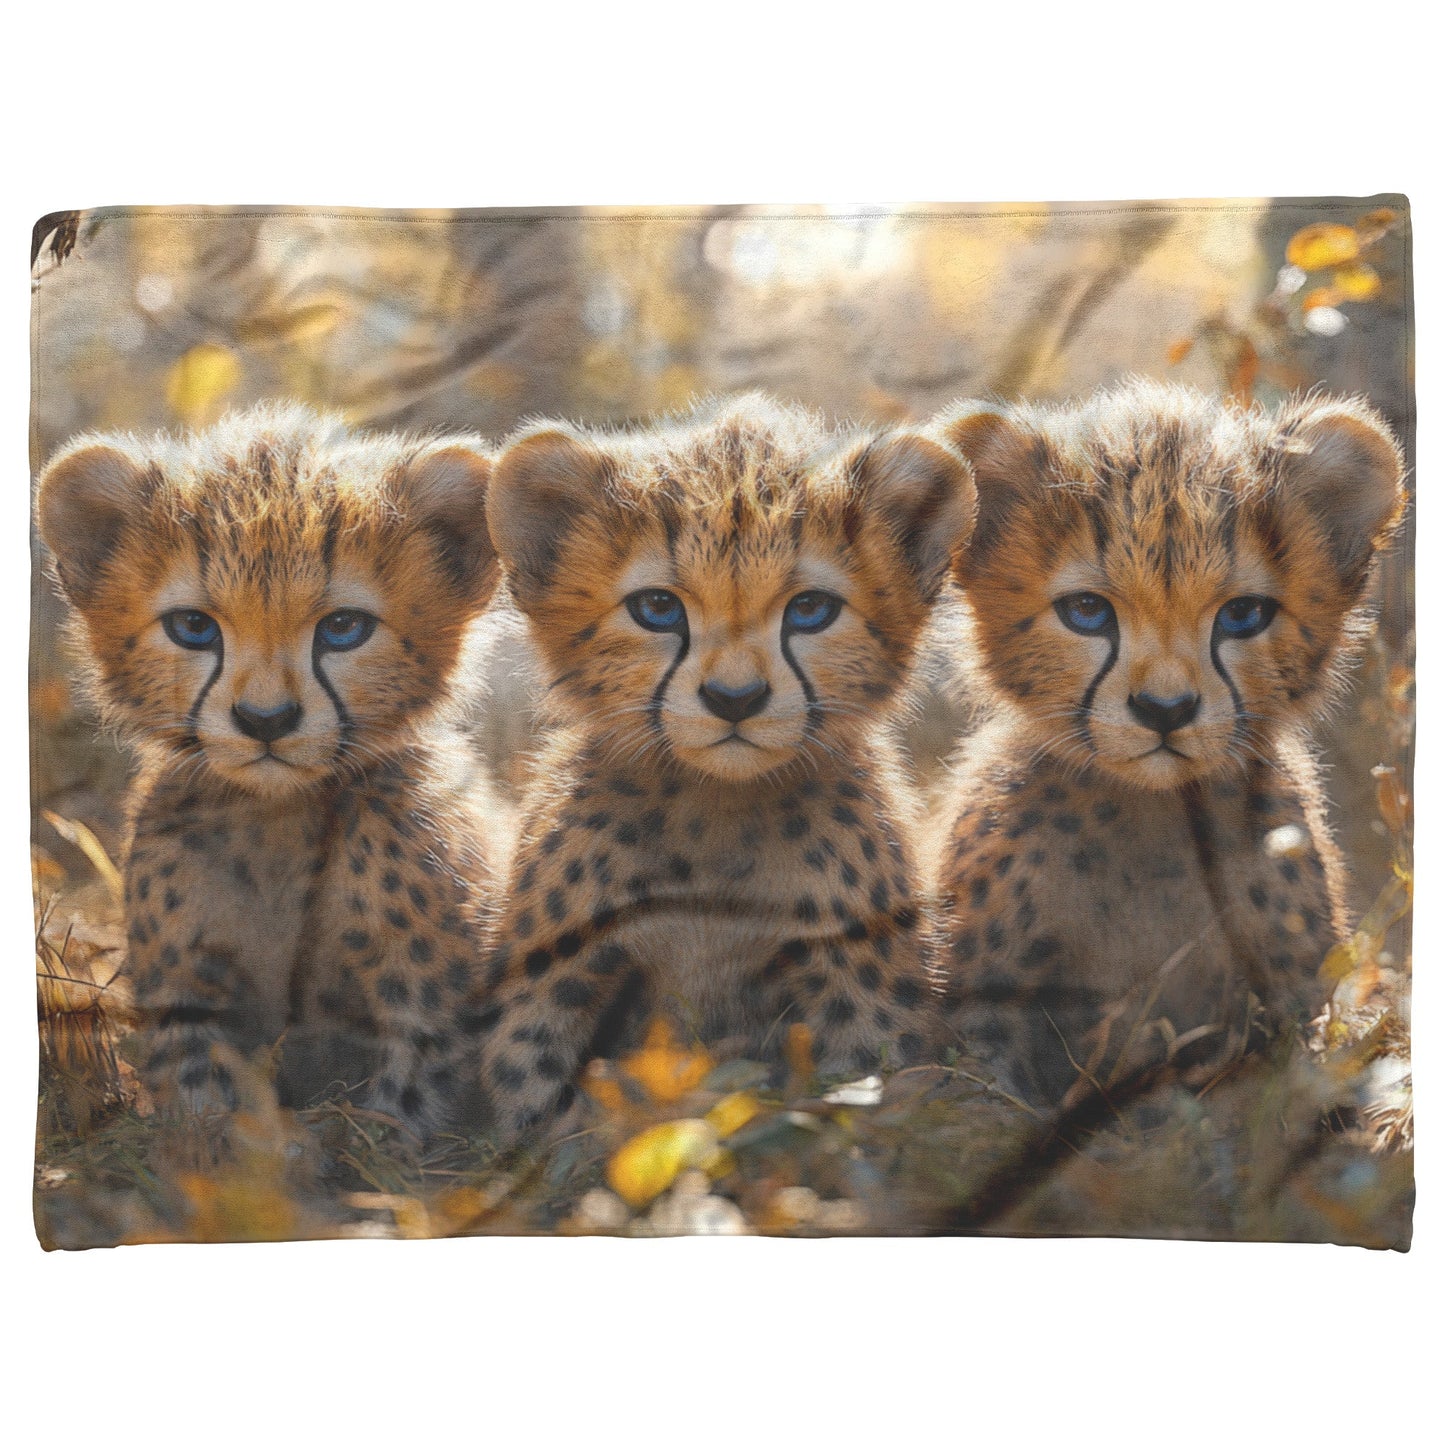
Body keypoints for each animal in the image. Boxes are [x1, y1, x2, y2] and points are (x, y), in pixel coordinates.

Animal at [36, 402, 501, 1135]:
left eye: (343, 627)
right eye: (193, 627)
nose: (265, 719)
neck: (282, 816)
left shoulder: (426, 976)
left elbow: (412, 1089)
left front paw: (379, 1139)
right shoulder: (189, 977)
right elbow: (201, 1093)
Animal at [471, 393, 978, 1139]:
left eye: (810, 609)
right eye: (657, 607)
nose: (734, 698)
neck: (715, 810)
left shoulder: (855, 985)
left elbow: (867, 1083)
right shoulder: (558, 977)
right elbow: (525, 1088)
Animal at [930, 380, 1406, 1111]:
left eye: (1243, 615)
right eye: (1086, 612)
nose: (1164, 709)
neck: (1153, 818)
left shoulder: (1290, 1006)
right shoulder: (978, 1015)